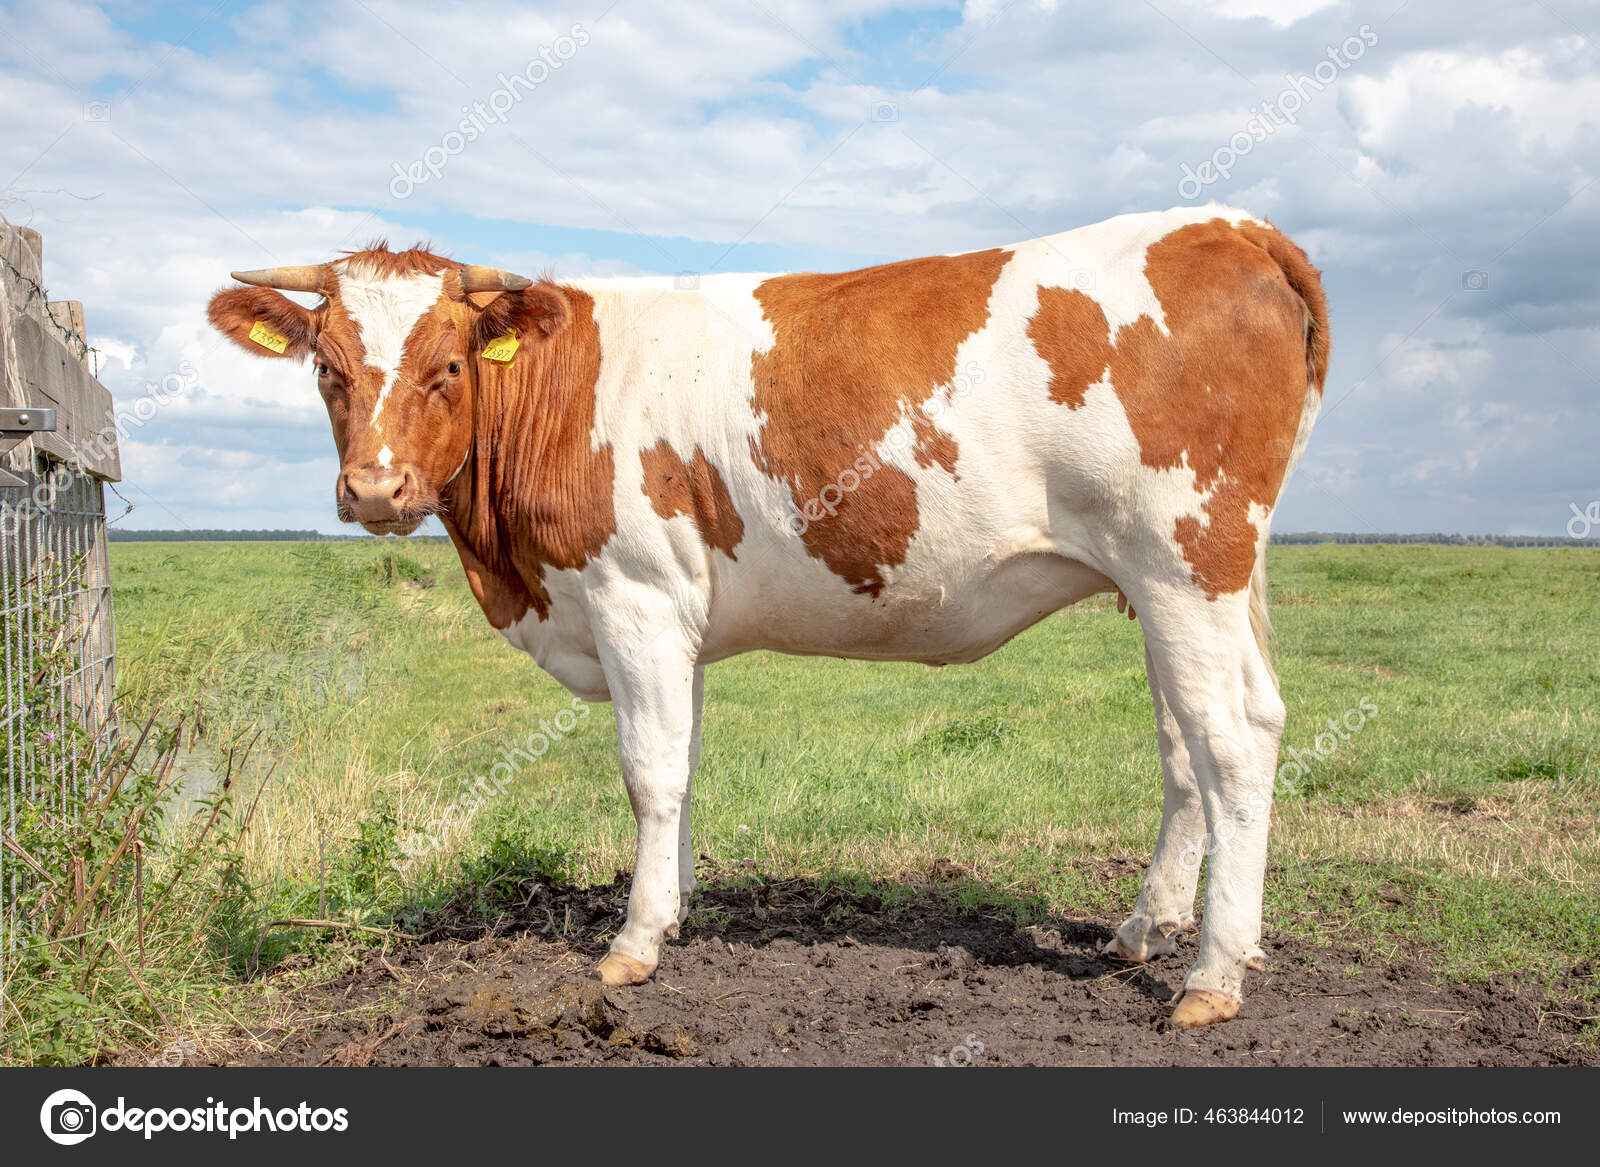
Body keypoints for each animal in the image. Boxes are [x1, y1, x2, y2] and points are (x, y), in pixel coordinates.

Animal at [207, 204, 1328, 1028]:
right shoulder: (679, 616)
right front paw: (677, 909)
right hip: (1181, 583)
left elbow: (649, 771)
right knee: (1203, 740)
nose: (375, 490)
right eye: (326, 370)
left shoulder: (634, 596)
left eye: (445, 367)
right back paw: (1150, 931)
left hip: (1185, 560)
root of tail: (1229, 224)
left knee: (1231, 744)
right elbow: (687, 759)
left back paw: (1210, 977)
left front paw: (633, 943)